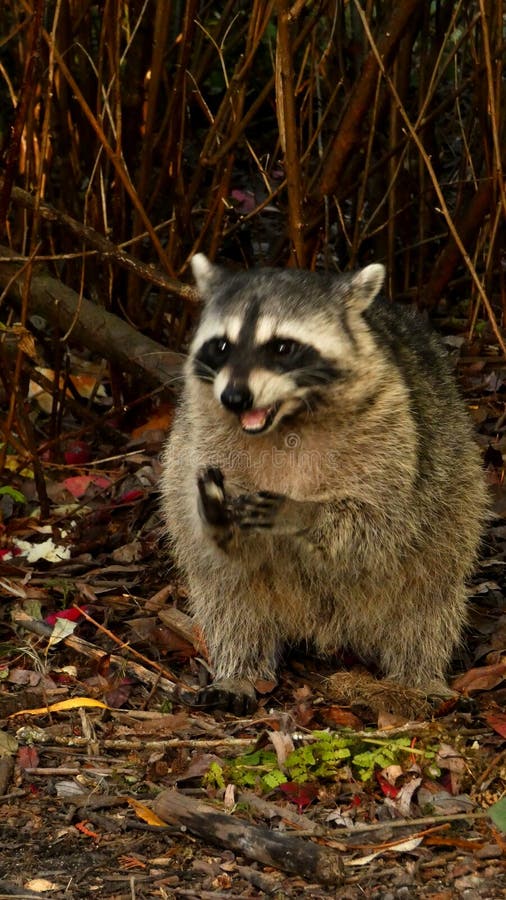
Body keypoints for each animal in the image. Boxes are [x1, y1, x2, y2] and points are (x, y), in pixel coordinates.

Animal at [160, 254, 488, 712]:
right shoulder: (199, 433)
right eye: (221, 345)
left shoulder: (391, 424)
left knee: (426, 599)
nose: (235, 398)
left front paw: (305, 514)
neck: (285, 418)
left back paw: (418, 677)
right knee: (229, 598)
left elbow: (382, 522)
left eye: (282, 347)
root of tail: (327, 626)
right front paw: (219, 518)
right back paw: (240, 669)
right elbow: (216, 538)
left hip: (453, 502)